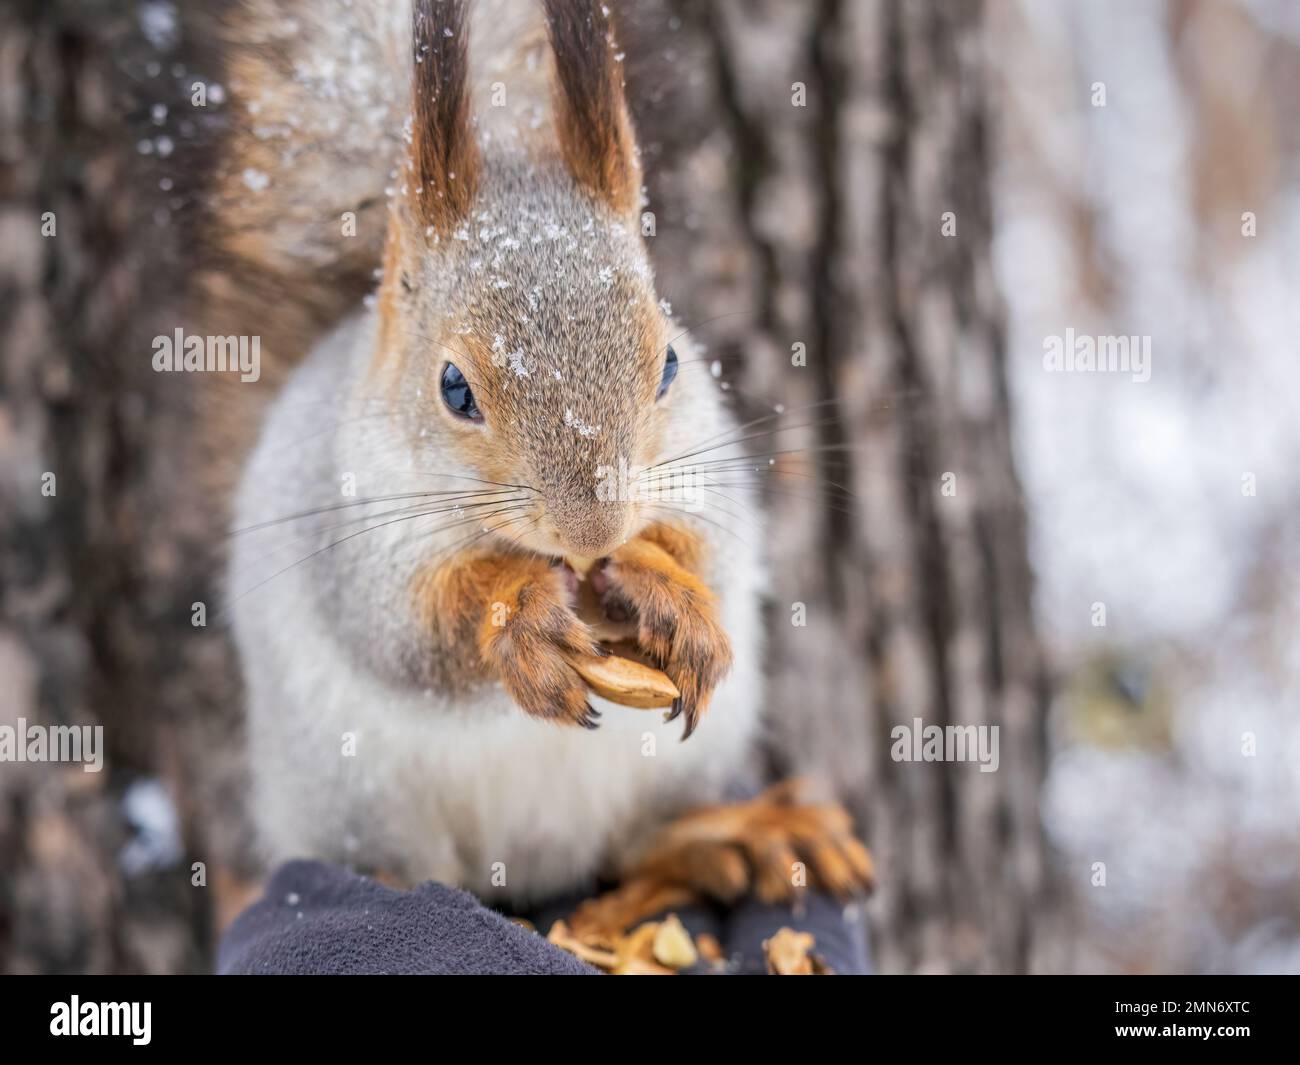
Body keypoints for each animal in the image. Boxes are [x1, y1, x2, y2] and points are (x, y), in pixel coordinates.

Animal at [217, 0, 872, 925]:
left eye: (671, 362)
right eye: (454, 387)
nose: (592, 533)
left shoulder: (706, 478)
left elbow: (715, 551)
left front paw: (667, 590)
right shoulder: (349, 533)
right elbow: (410, 632)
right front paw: (521, 614)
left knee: (637, 845)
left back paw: (740, 835)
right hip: (348, 794)